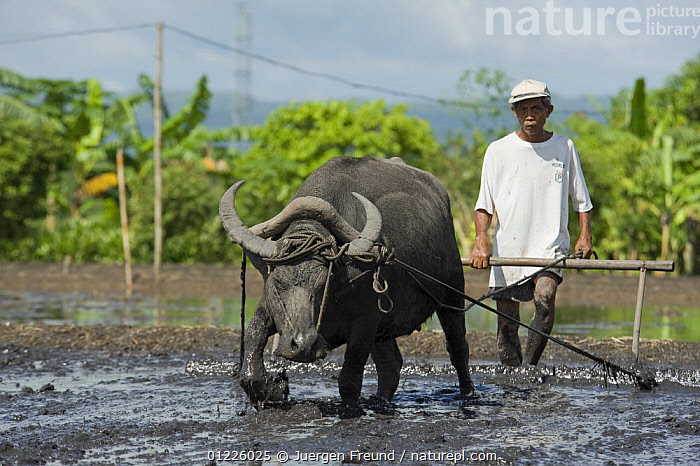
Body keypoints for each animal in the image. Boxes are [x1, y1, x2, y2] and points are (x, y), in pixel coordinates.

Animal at [220, 156, 474, 416]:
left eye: (324, 284)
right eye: (278, 283)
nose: (302, 345)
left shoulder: (365, 323)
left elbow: (350, 377)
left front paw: (351, 408)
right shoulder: (269, 309)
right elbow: (250, 356)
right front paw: (272, 392)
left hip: (453, 292)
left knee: (457, 347)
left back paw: (467, 395)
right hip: (386, 322)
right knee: (390, 364)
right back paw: (380, 401)